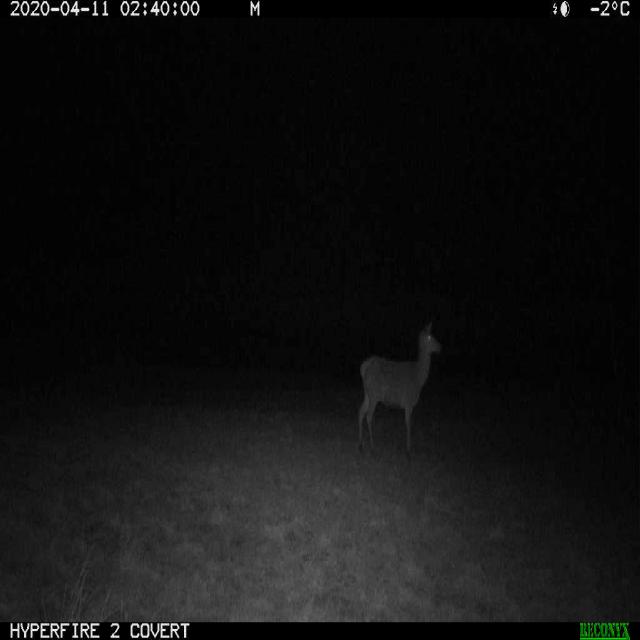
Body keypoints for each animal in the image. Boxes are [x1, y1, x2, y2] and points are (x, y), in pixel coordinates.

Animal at [358, 323, 441, 456]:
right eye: (429, 337)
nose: (440, 347)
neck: (418, 378)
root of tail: (364, 367)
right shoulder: (408, 401)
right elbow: (408, 423)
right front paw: (408, 450)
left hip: (367, 393)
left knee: (360, 411)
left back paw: (361, 444)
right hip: (374, 393)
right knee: (368, 415)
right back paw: (372, 446)